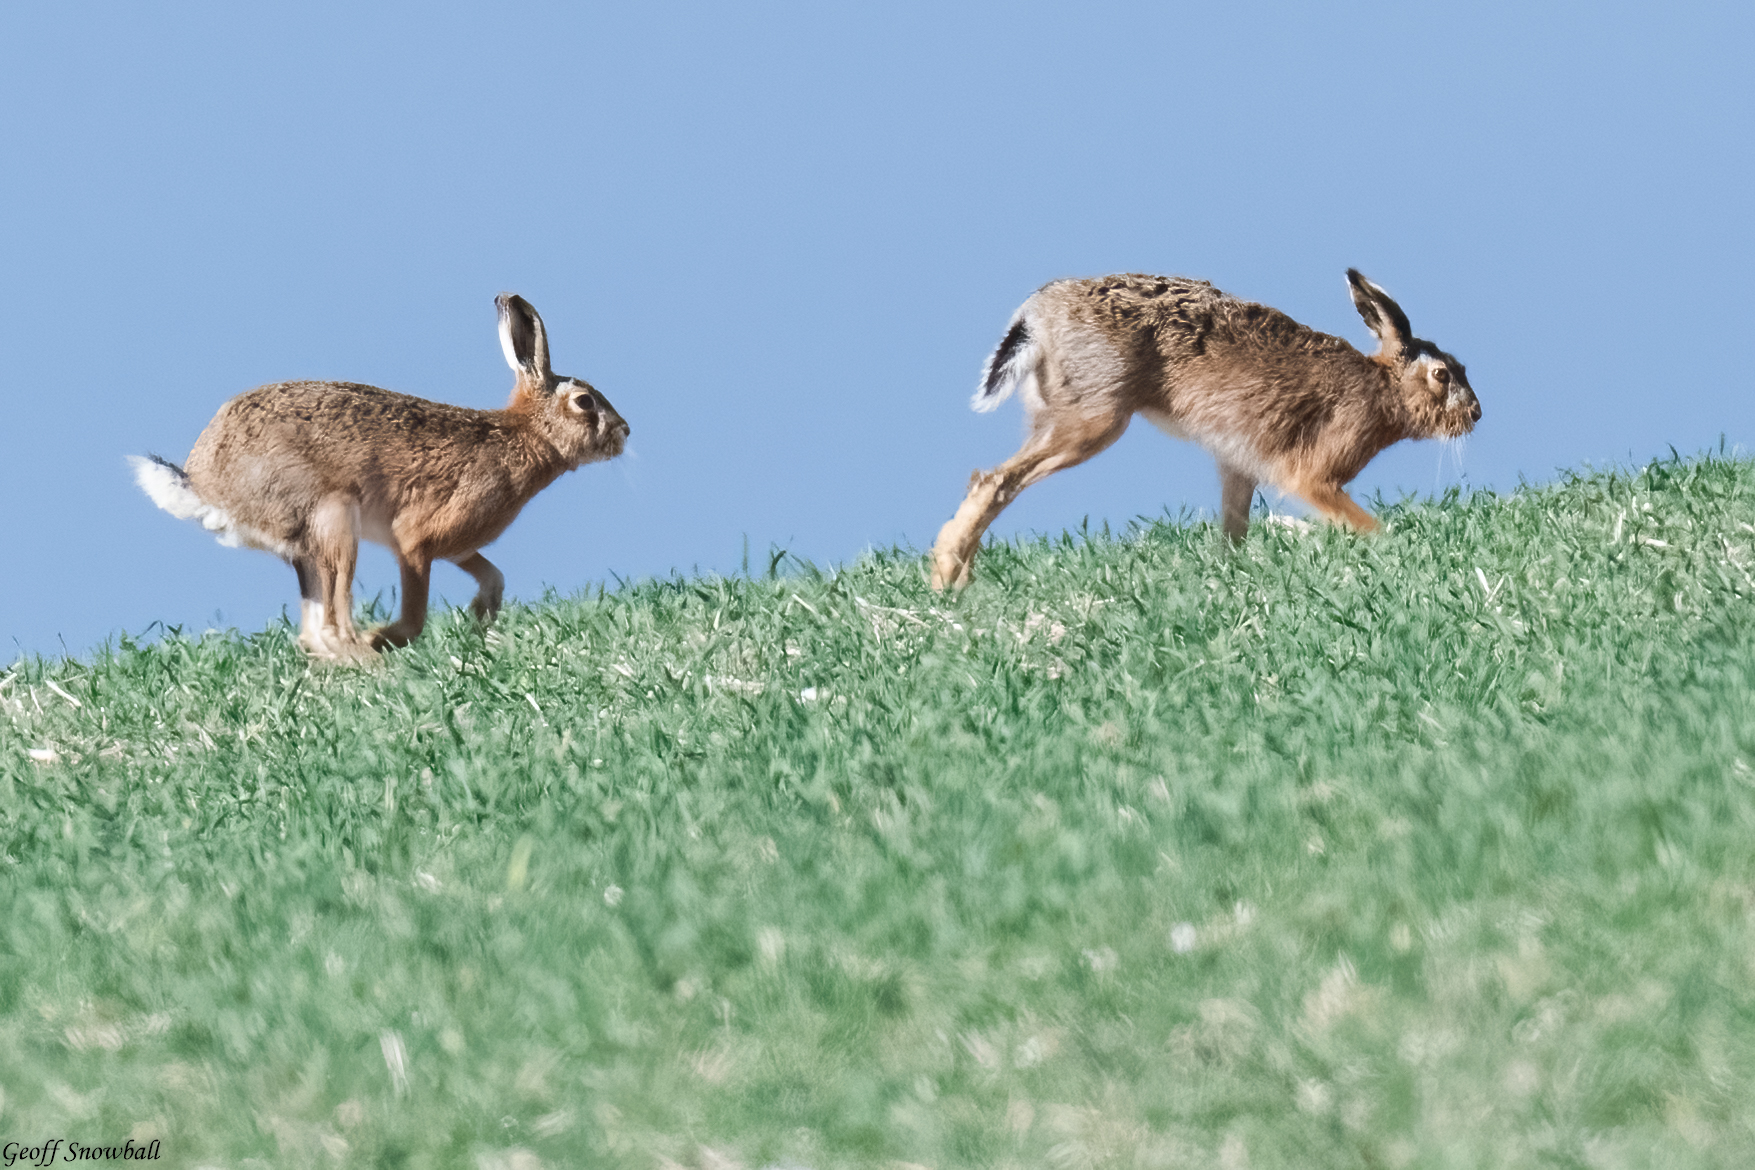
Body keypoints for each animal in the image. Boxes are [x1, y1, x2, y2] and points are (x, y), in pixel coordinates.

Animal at [130, 294, 629, 661]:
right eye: (585, 402)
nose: (625, 432)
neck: (526, 436)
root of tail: (205, 486)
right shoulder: (417, 539)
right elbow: (416, 610)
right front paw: (387, 637)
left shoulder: (459, 546)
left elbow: (493, 574)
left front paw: (480, 615)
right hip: (334, 519)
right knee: (331, 625)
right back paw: (372, 659)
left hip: (310, 546)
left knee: (314, 629)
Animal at [929, 269, 1480, 589]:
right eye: (1442, 375)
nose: (1476, 414)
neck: (1385, 389)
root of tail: (1036, 317)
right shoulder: (1312, 477)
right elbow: (1356, 521)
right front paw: (1386, 544)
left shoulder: (1240, 464)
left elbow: (1234, 527)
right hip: (1093, 420)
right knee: (996, 481)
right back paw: (948, 576)